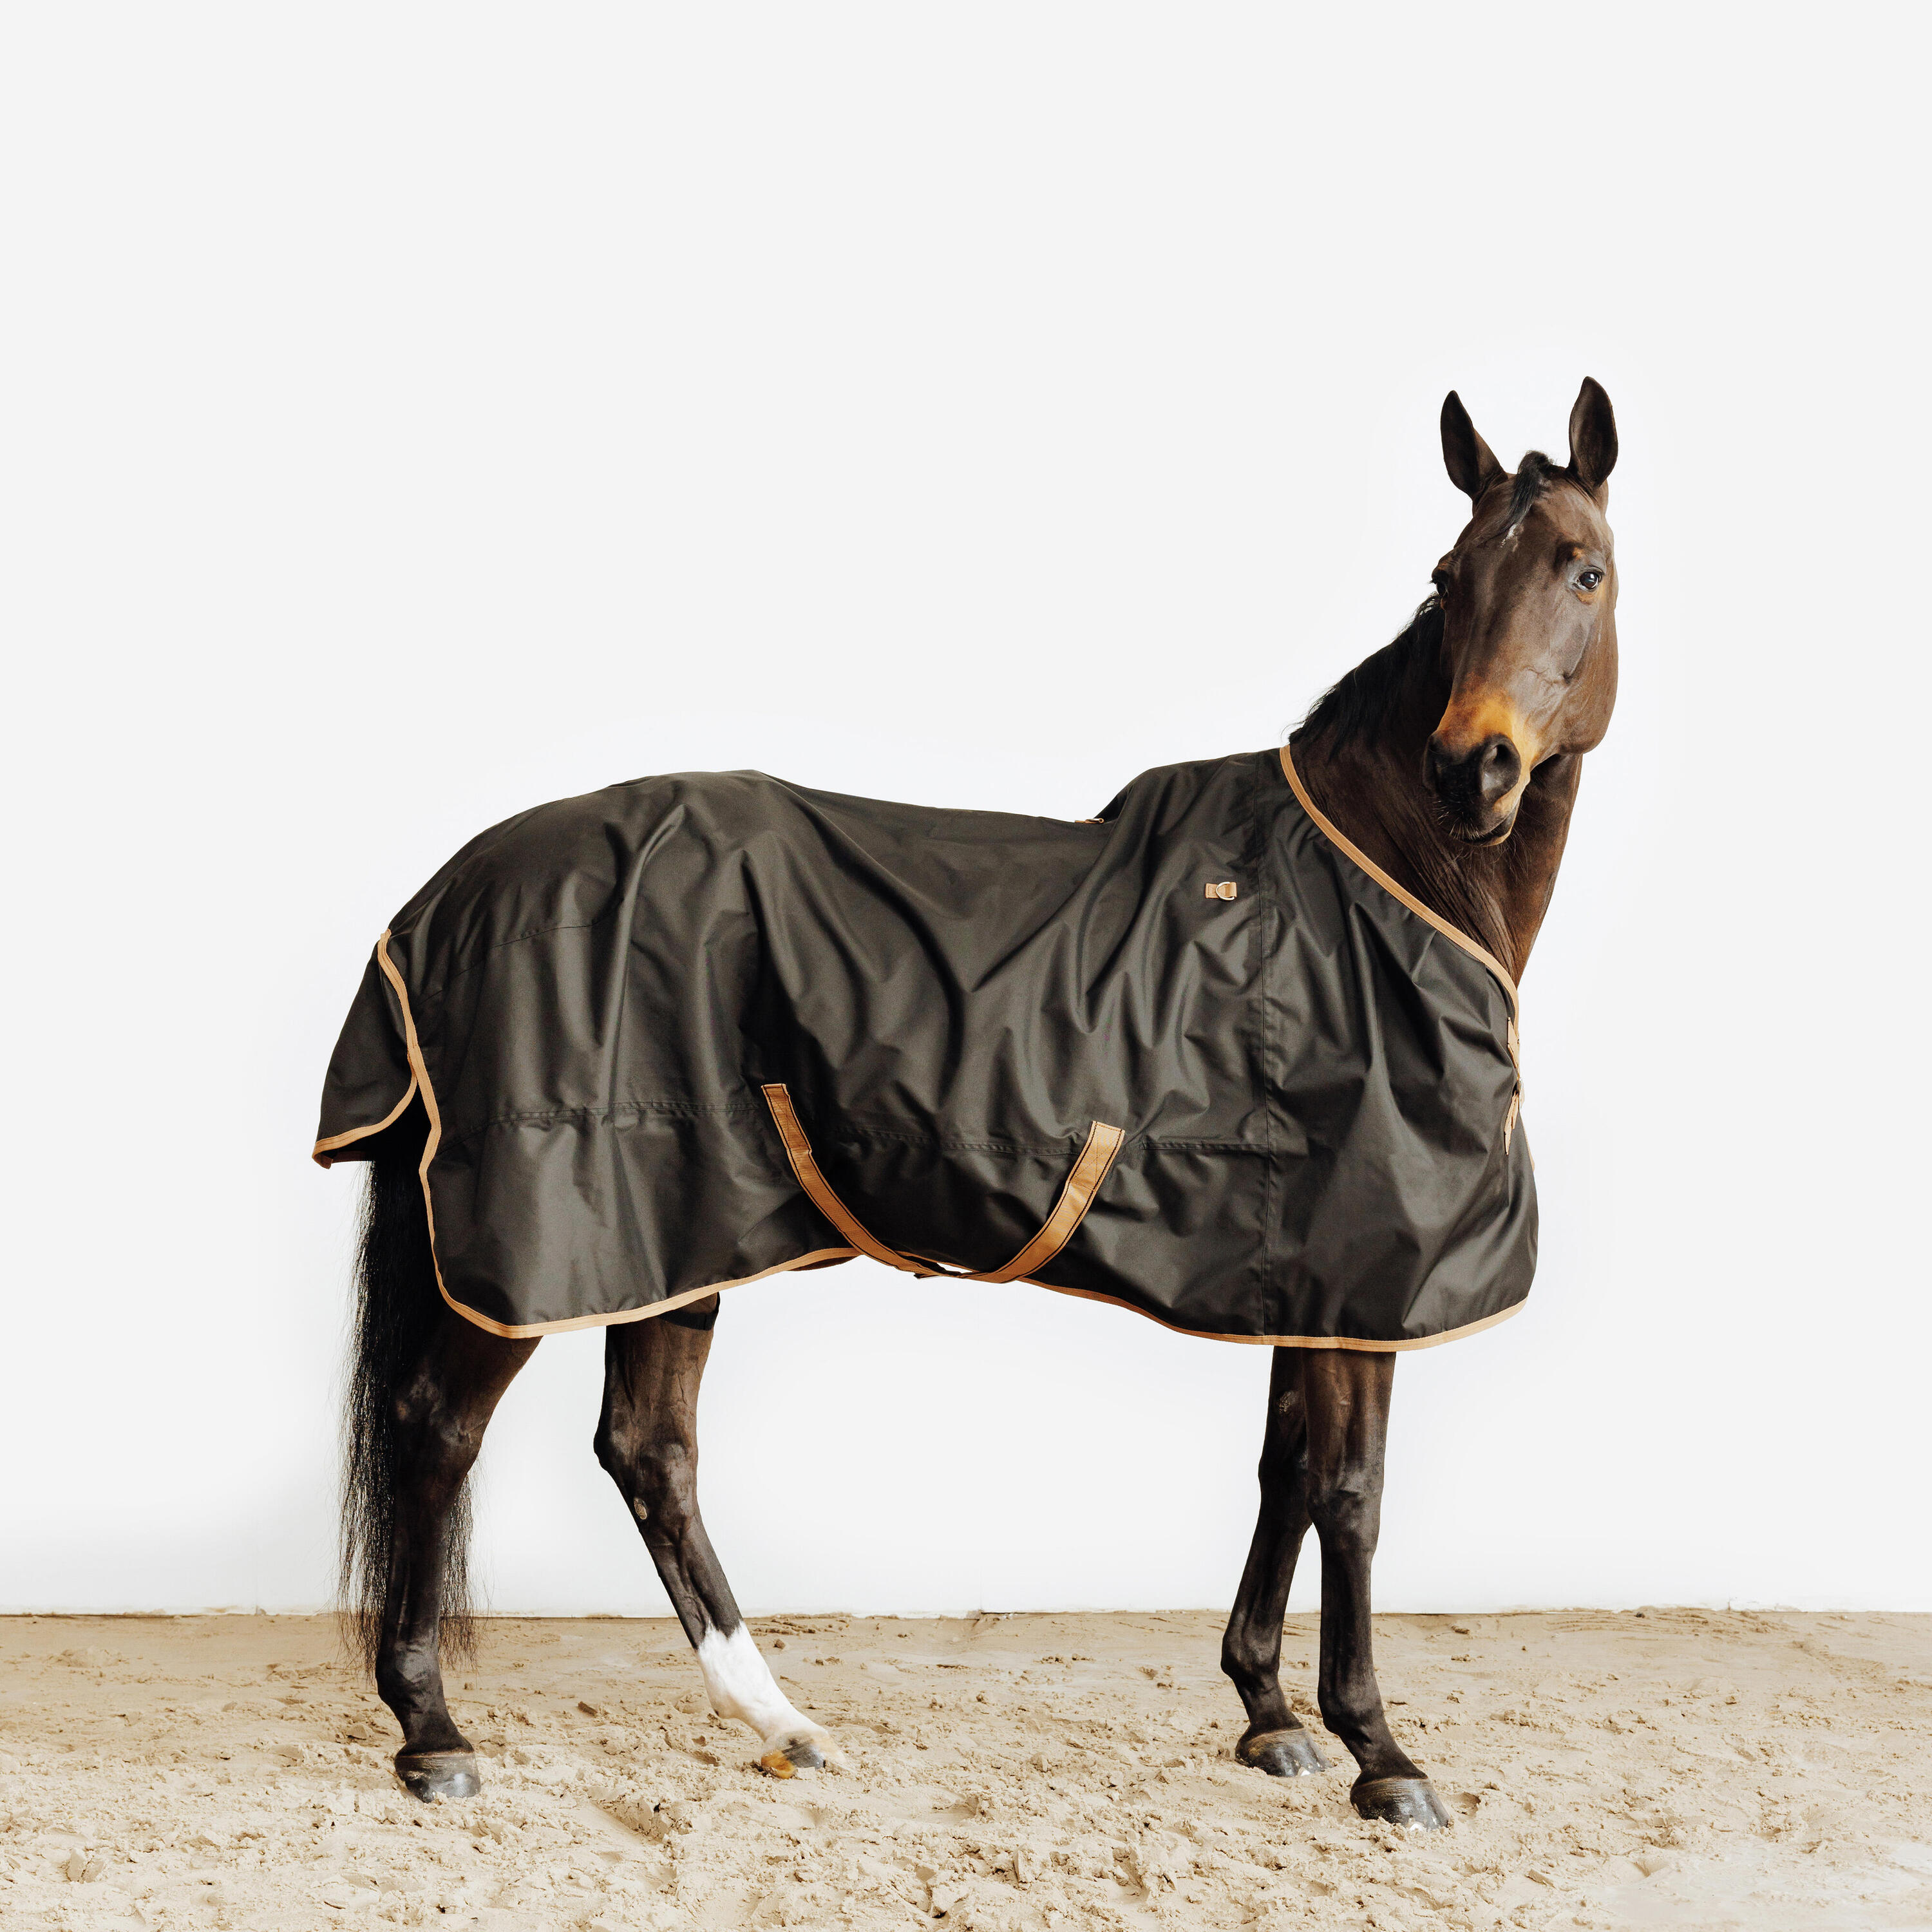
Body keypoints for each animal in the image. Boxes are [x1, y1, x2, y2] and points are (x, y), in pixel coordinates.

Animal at [322, 378, 1619, 1832]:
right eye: (1449, 580)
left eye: (1583, 566)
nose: (1474, 771)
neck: (1377, 879)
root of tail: (441, 902)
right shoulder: (1371, 1266)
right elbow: (1351, 1493)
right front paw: (1382, 1756)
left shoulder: (1313, 1271)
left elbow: (1287, 1467)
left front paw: (1270, 1717)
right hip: (547, 1239)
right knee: (438, 1429)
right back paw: (432, 1732)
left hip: (674, 1229)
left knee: (648, 1451)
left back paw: (782, 1723)